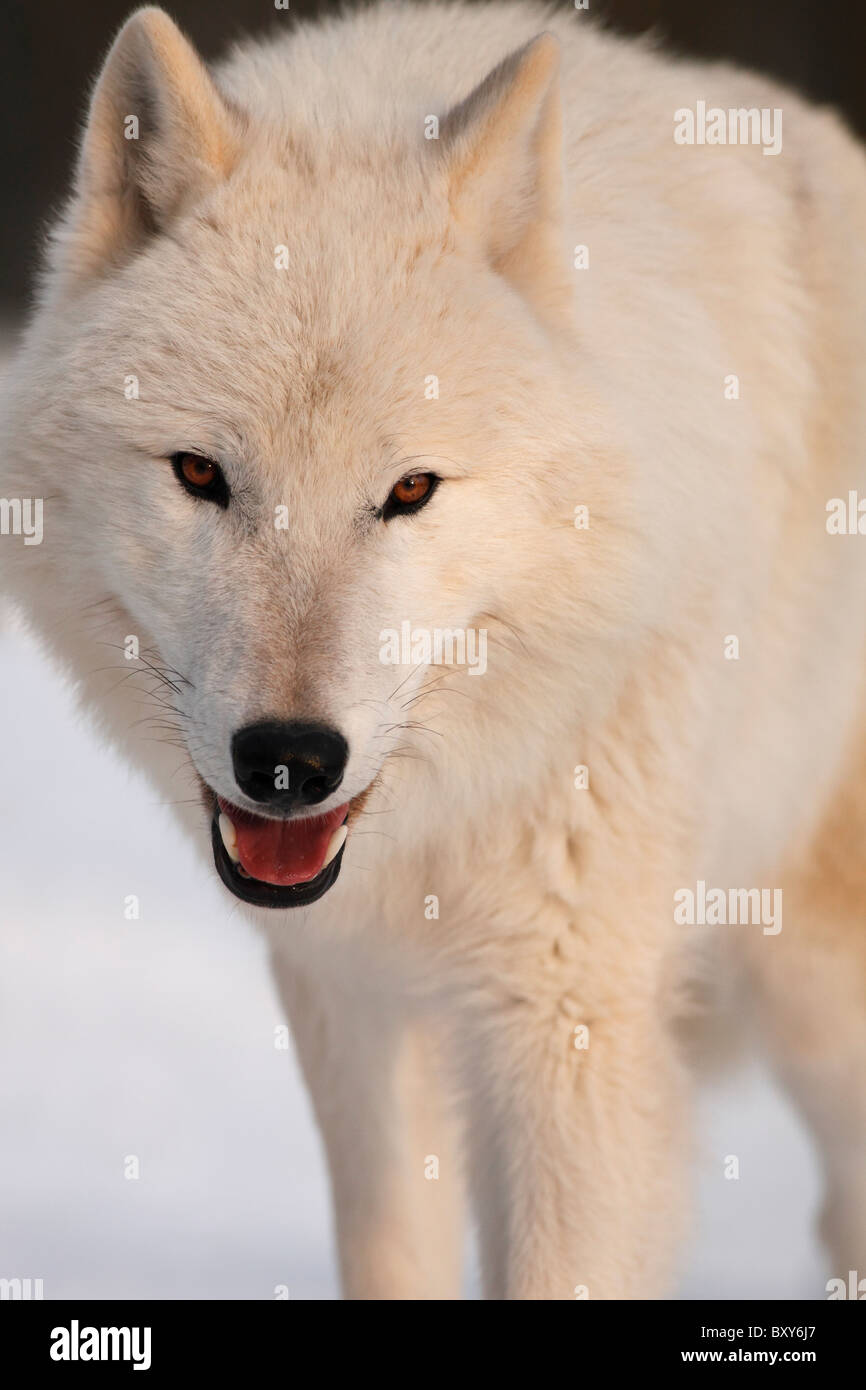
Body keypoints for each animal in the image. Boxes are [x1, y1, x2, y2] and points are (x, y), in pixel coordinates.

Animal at [2, 0, 866, 1299]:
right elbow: (390, 1248)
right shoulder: (352, 997)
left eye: (409, 491)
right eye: (200, 473)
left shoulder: (565, 1016)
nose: (289, 761)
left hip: (815, 991)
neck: (440, 824)